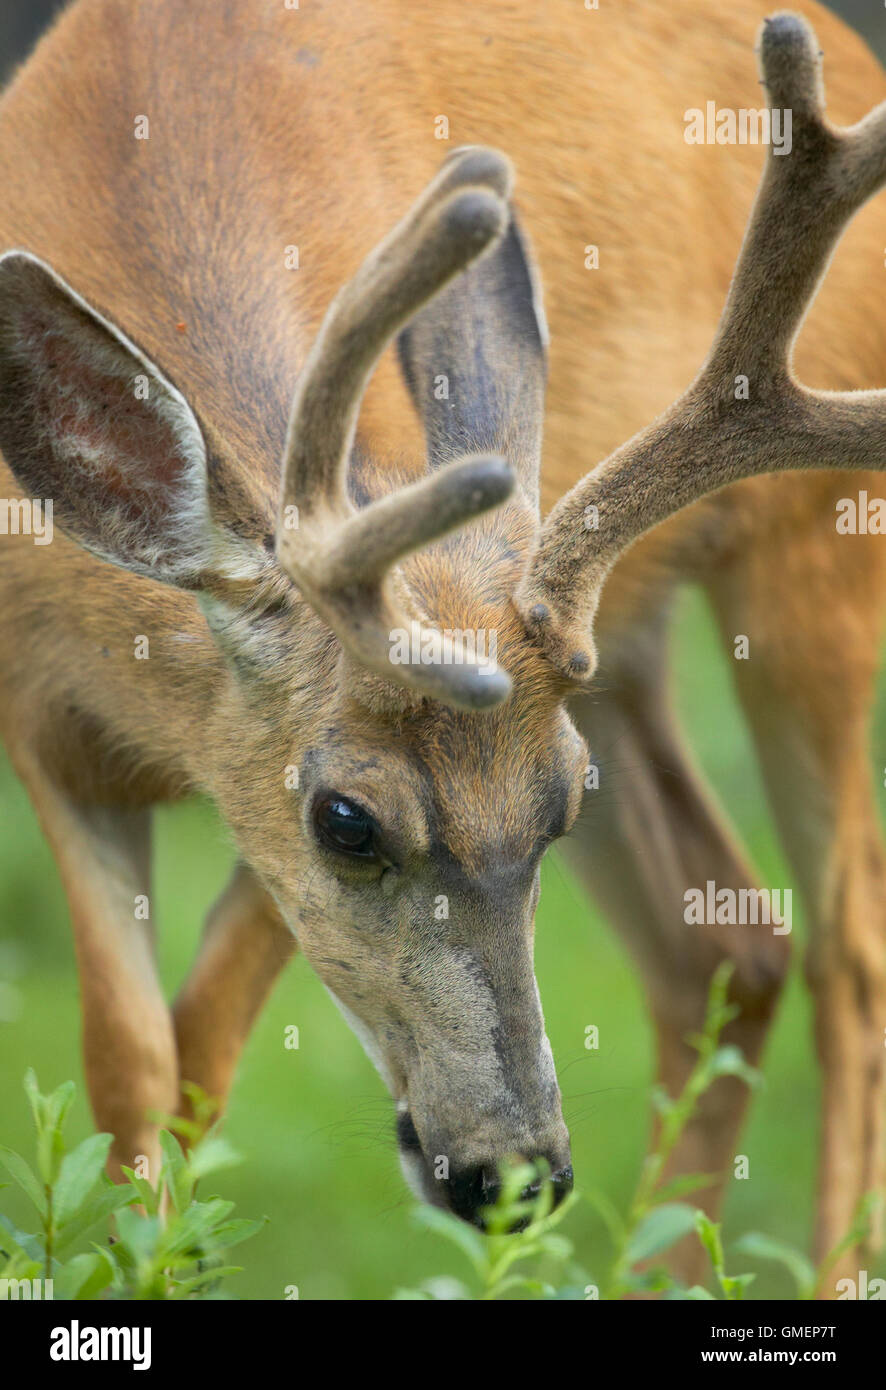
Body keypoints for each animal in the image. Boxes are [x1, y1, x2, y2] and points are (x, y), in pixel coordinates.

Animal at [1, 0, 885, 1290]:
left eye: (556, 806)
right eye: (346, 820)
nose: (515, 1174)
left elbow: (198, 1054)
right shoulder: (46, 730)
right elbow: (127, 1063)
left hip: (812, 547)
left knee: (848, 952)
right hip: (615, 646)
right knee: (726, 942)